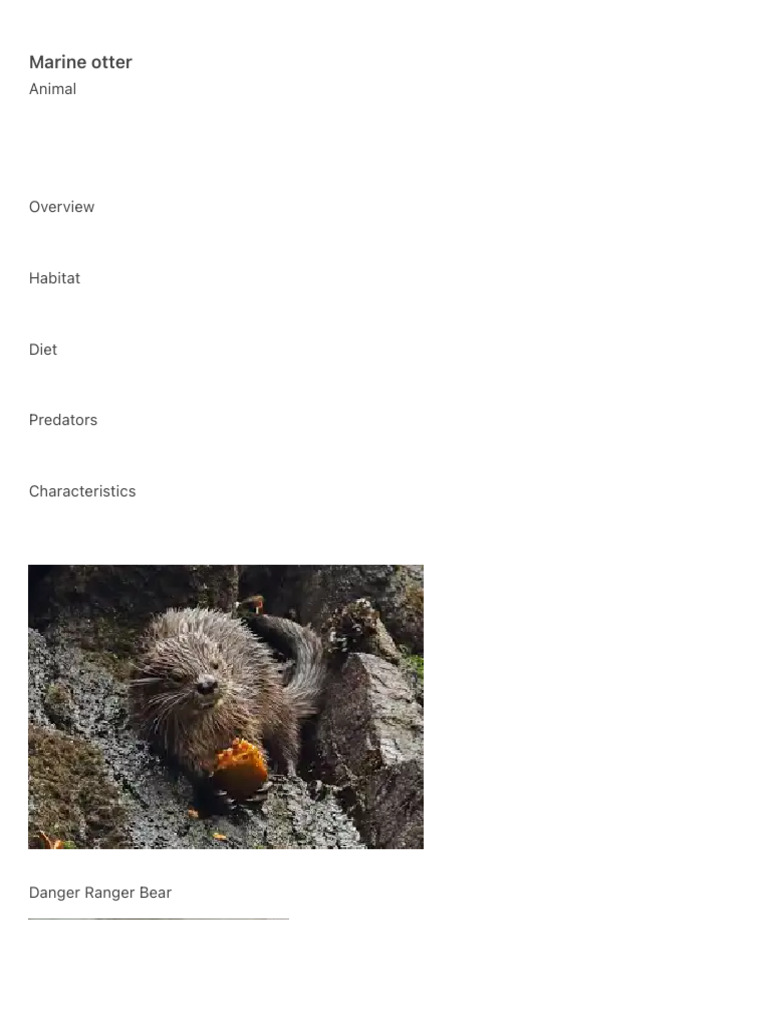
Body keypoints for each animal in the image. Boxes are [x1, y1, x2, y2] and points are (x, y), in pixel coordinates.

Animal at [130, 607, 324, 798]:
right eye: (177, 677)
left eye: (215, 664)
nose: (207, 684)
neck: (207, 732)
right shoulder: (173, 741)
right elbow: (195, 768)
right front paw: (217, 792)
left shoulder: (242, 716)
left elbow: (254, 740)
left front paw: (261, 778)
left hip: (274, 700)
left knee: (287, 736)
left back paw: (290, 773)